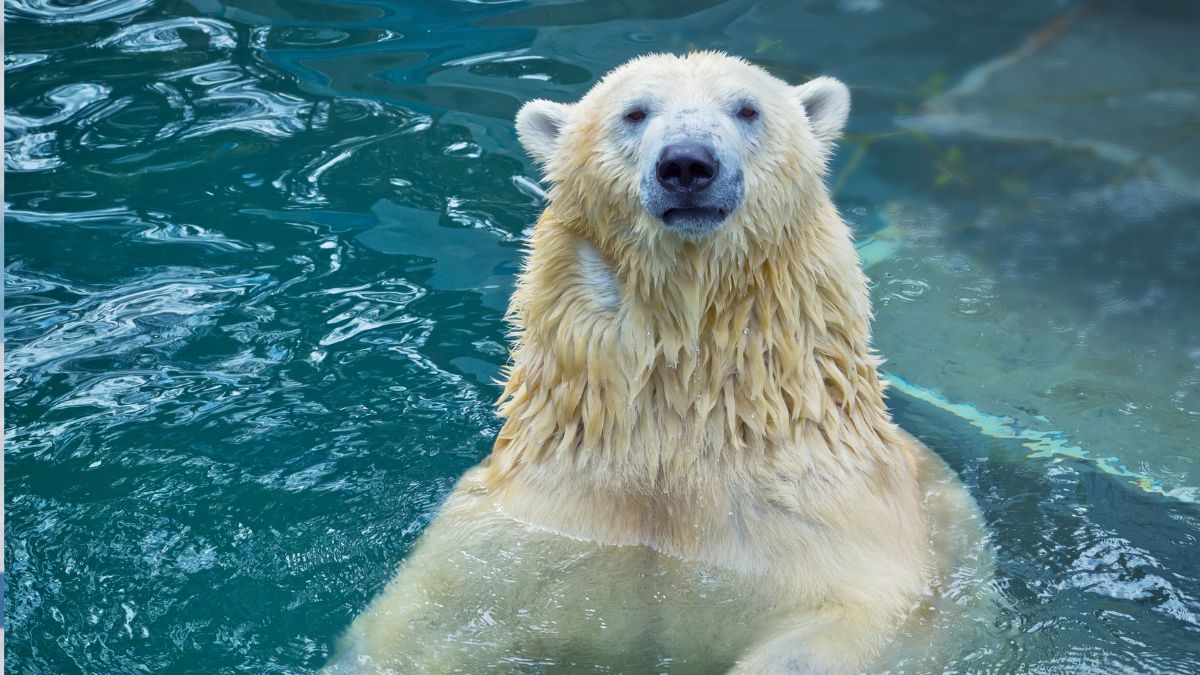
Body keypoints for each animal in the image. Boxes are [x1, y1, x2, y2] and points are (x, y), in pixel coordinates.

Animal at [324, 52, 991, 674]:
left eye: (747, 109)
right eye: (635, 112)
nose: (688, 164)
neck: (679, 438)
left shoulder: (832, 531)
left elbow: (846, 627)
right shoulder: (538, 524)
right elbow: (430, 621)